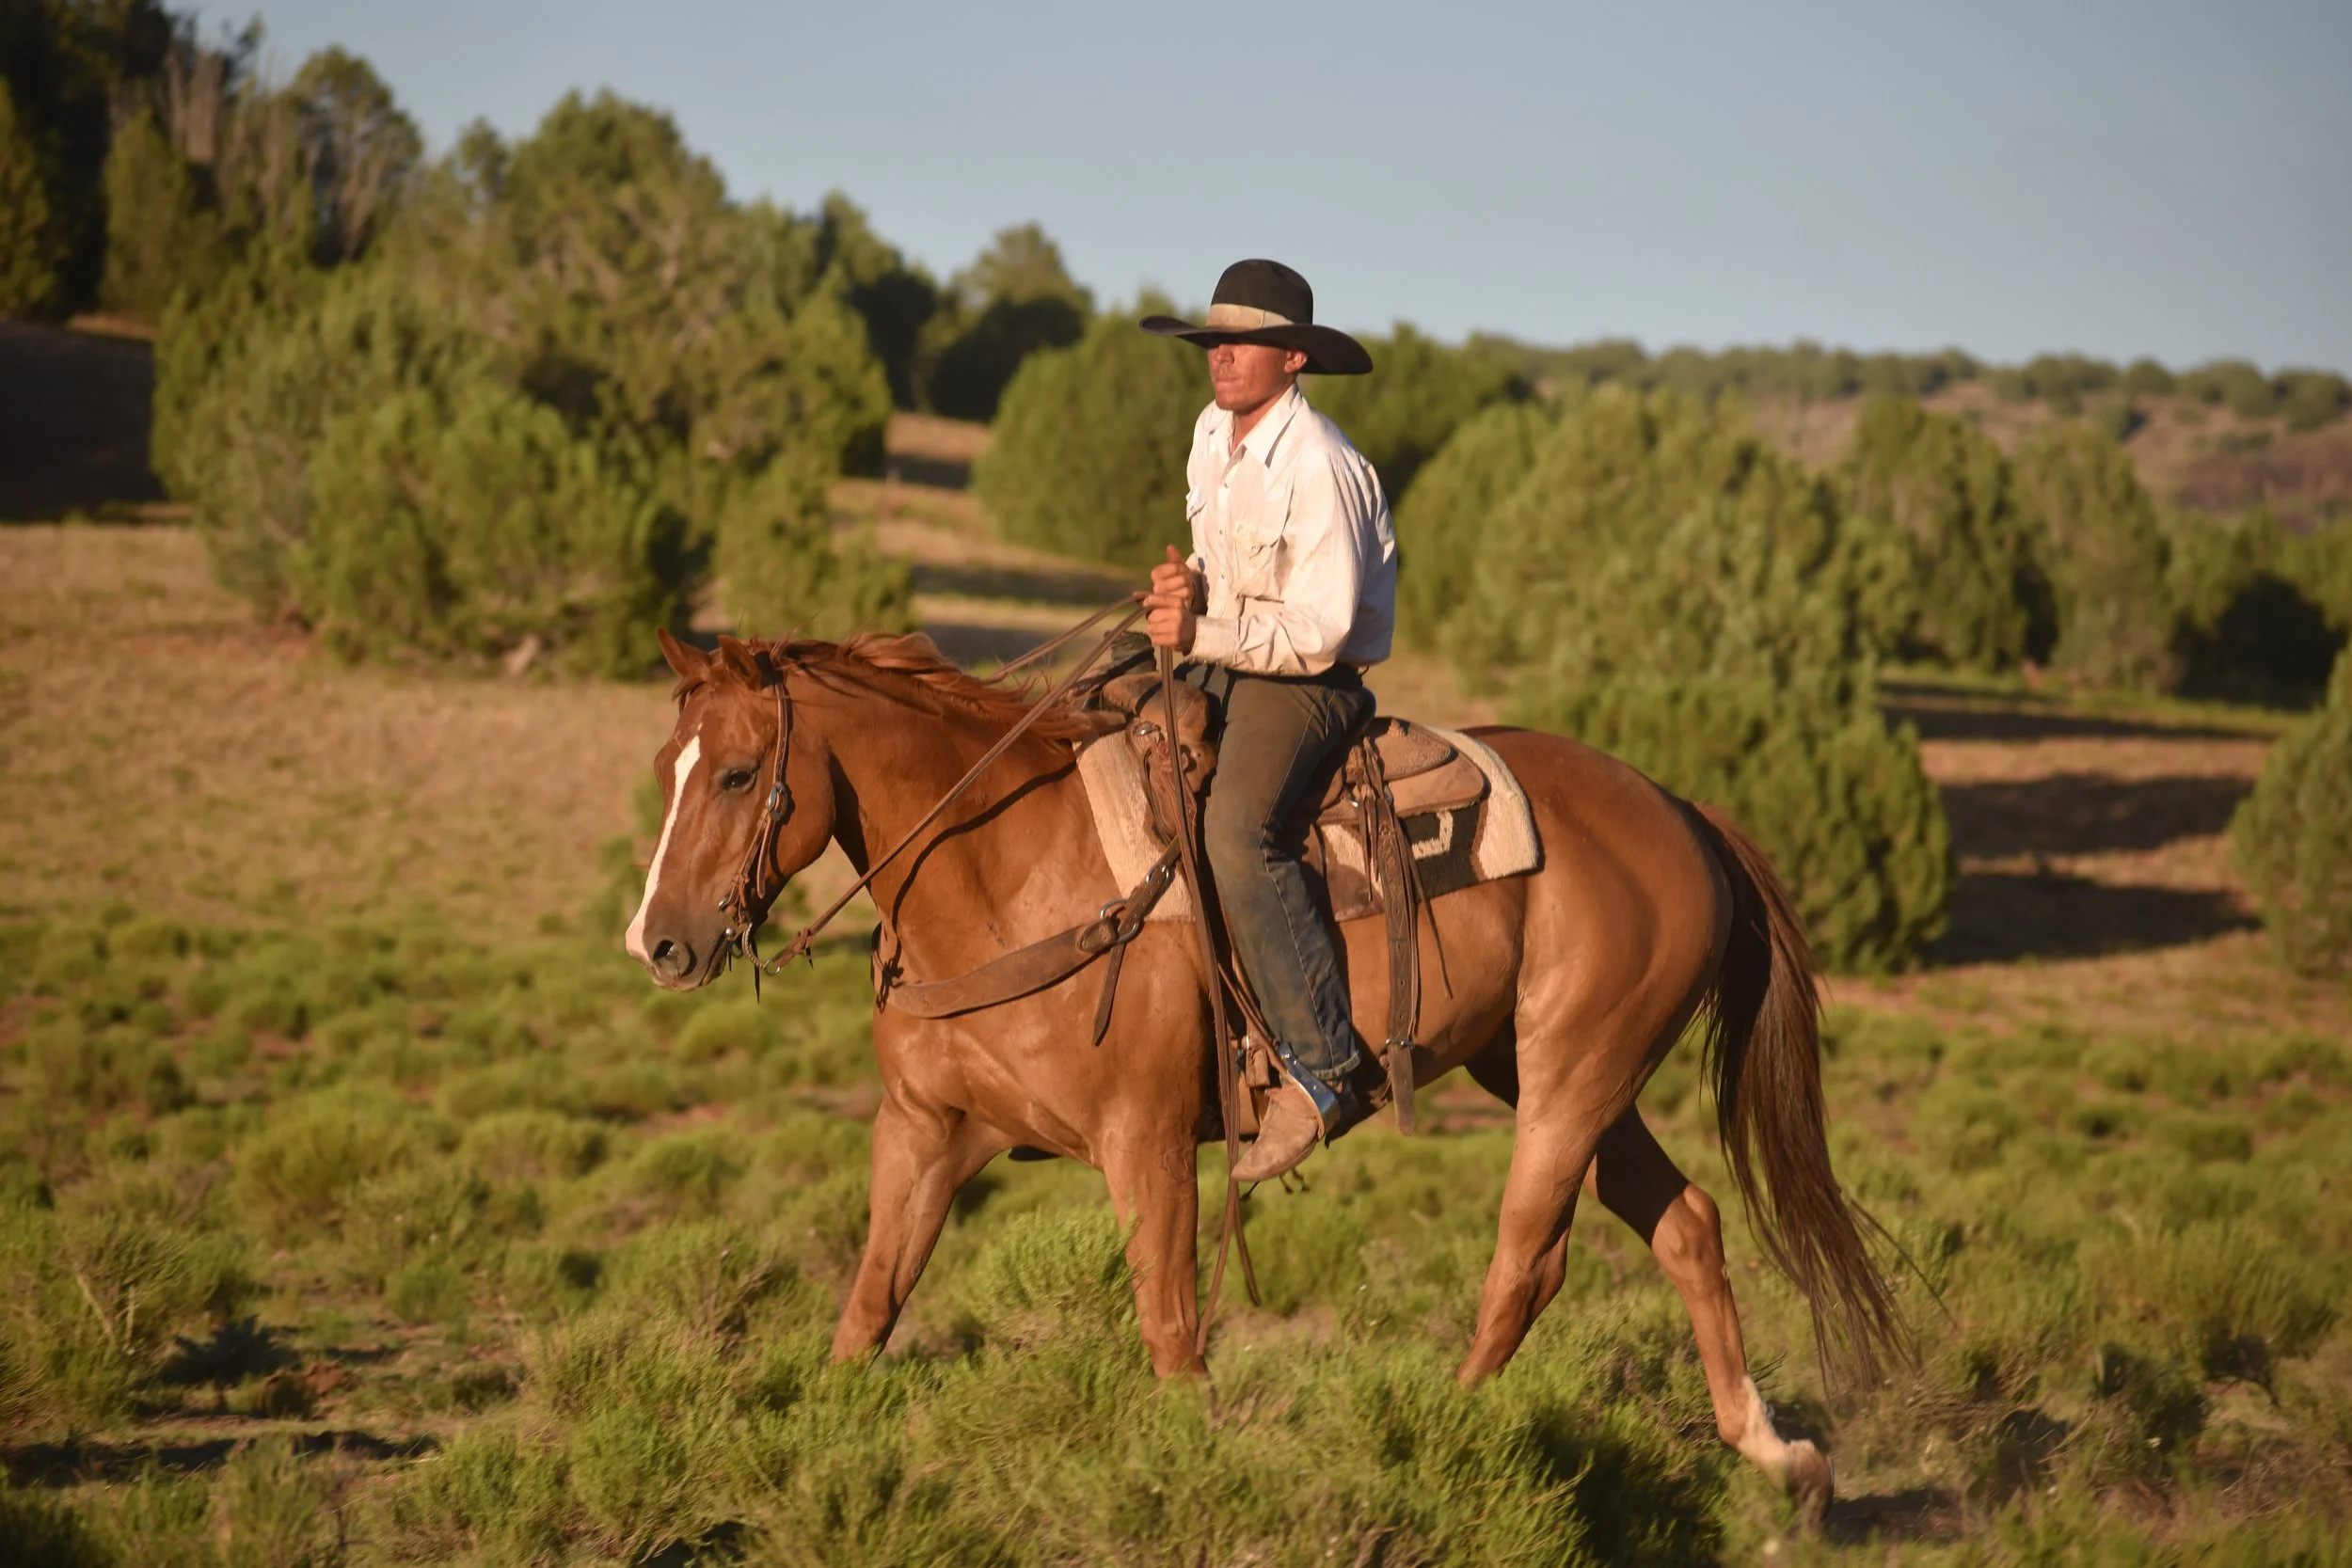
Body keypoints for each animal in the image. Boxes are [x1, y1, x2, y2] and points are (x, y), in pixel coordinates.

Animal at [623, 626, 1901, 1516]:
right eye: (665, 765)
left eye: (737, 772)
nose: (660, 943)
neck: (1004, 869)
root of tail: (1681, 808)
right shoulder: (922, 1131)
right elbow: (867, 1310)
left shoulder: (1144, 1143)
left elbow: (1170, 1328)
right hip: (1564, 1073)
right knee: (1683, 1222)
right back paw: (1779, 1456)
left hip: (1572, 1076)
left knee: (1527, 1262)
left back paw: (1435, 1443)